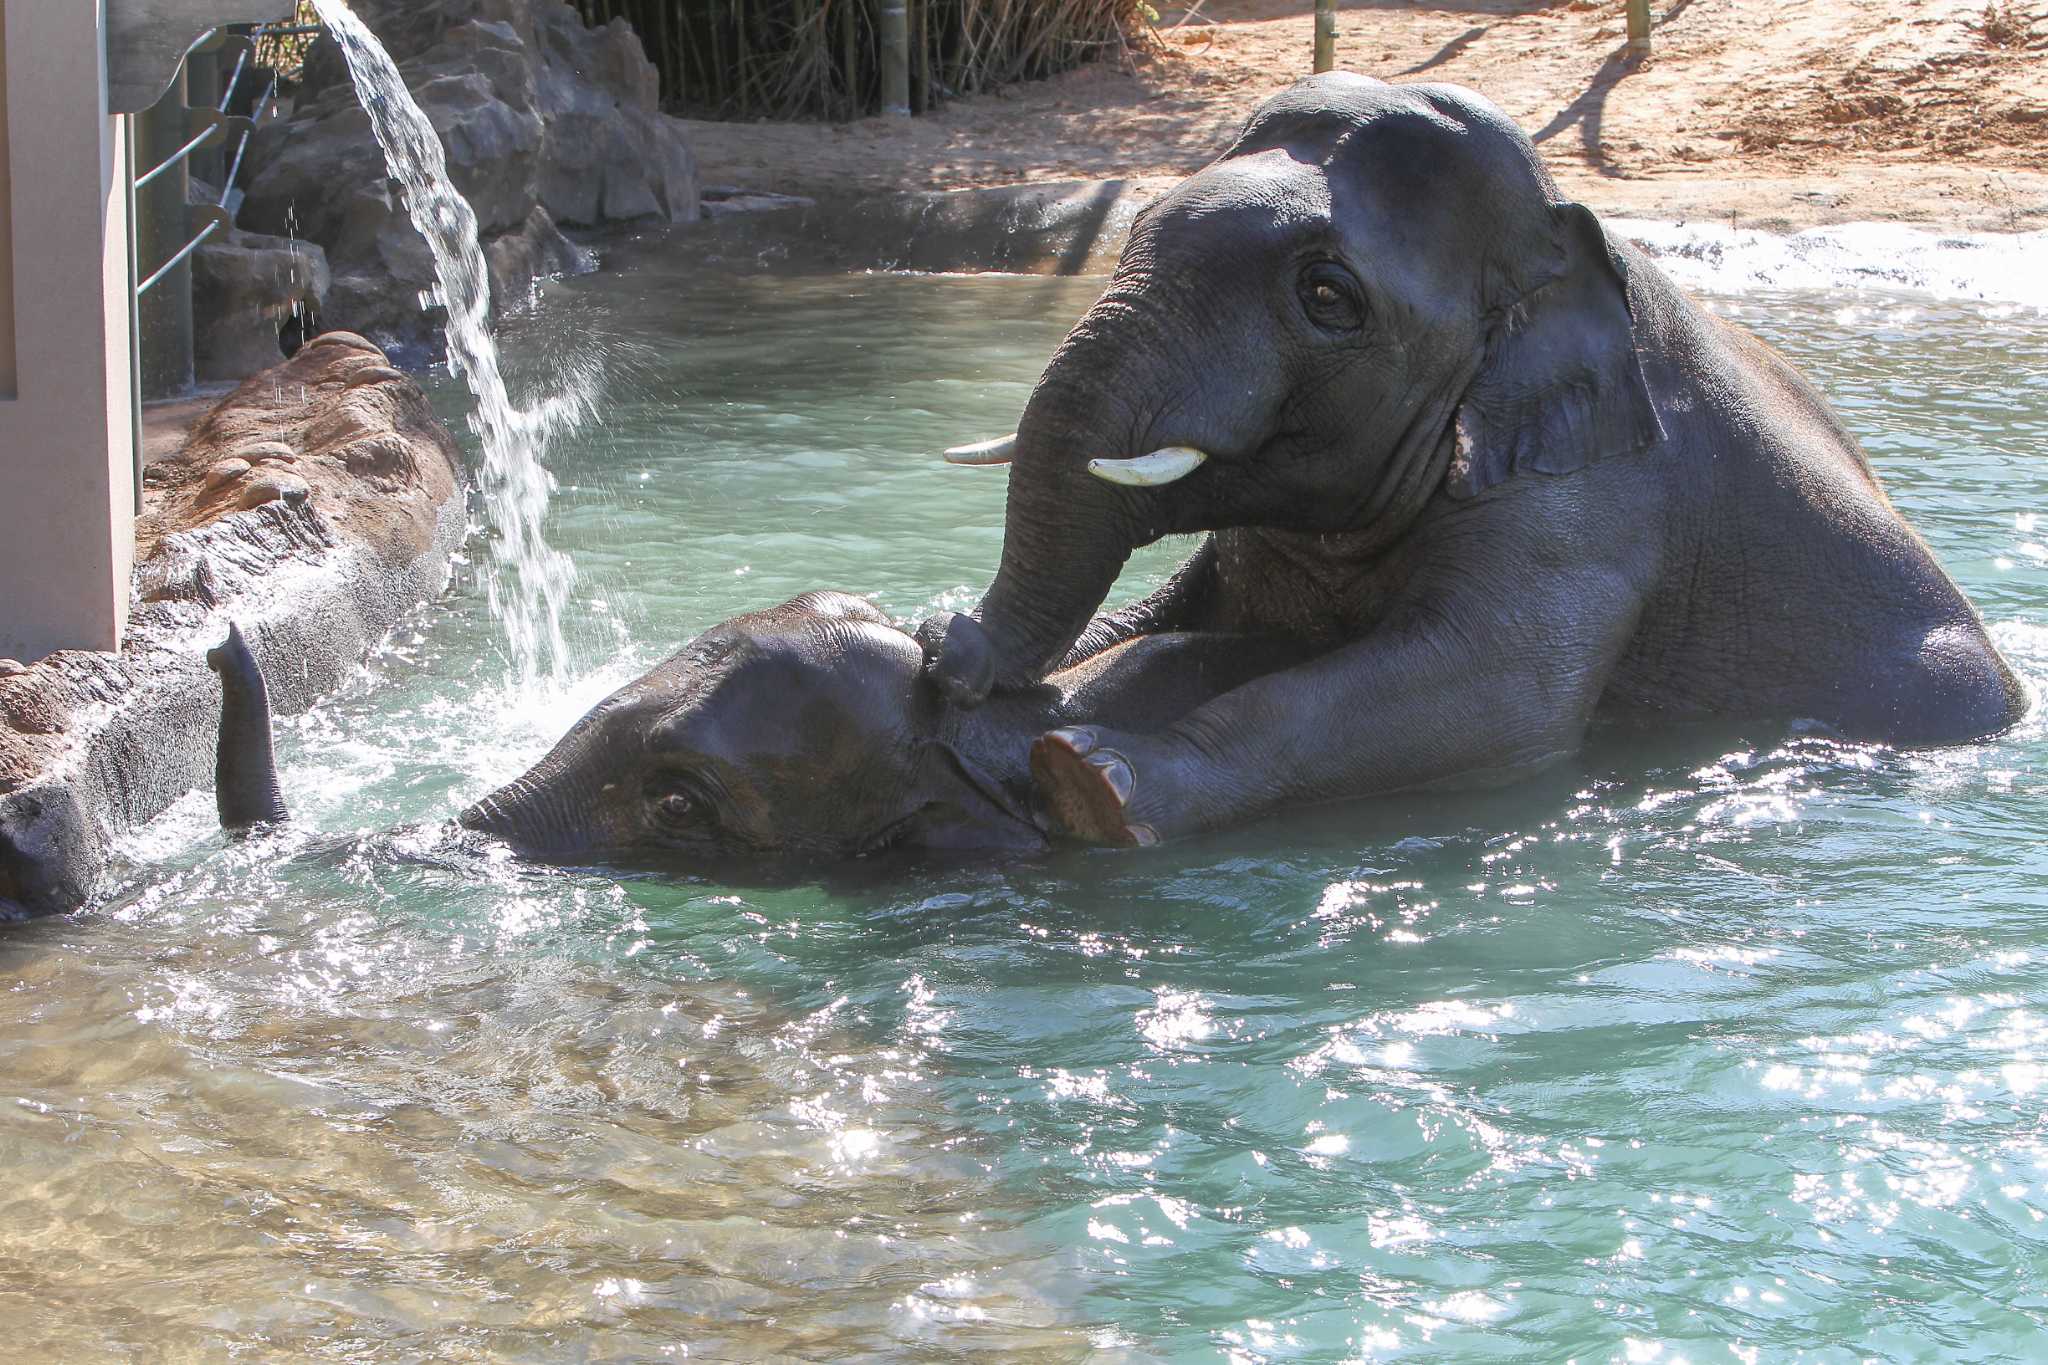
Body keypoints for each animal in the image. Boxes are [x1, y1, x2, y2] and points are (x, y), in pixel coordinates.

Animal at [916, 73, 2025, 848]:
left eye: (1327, 296)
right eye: (1134, 227)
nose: (944, 655)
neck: (1559, 236)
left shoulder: (1594, 497)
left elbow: (1490, 689)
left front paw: (1091, 787)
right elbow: (1184, 610)